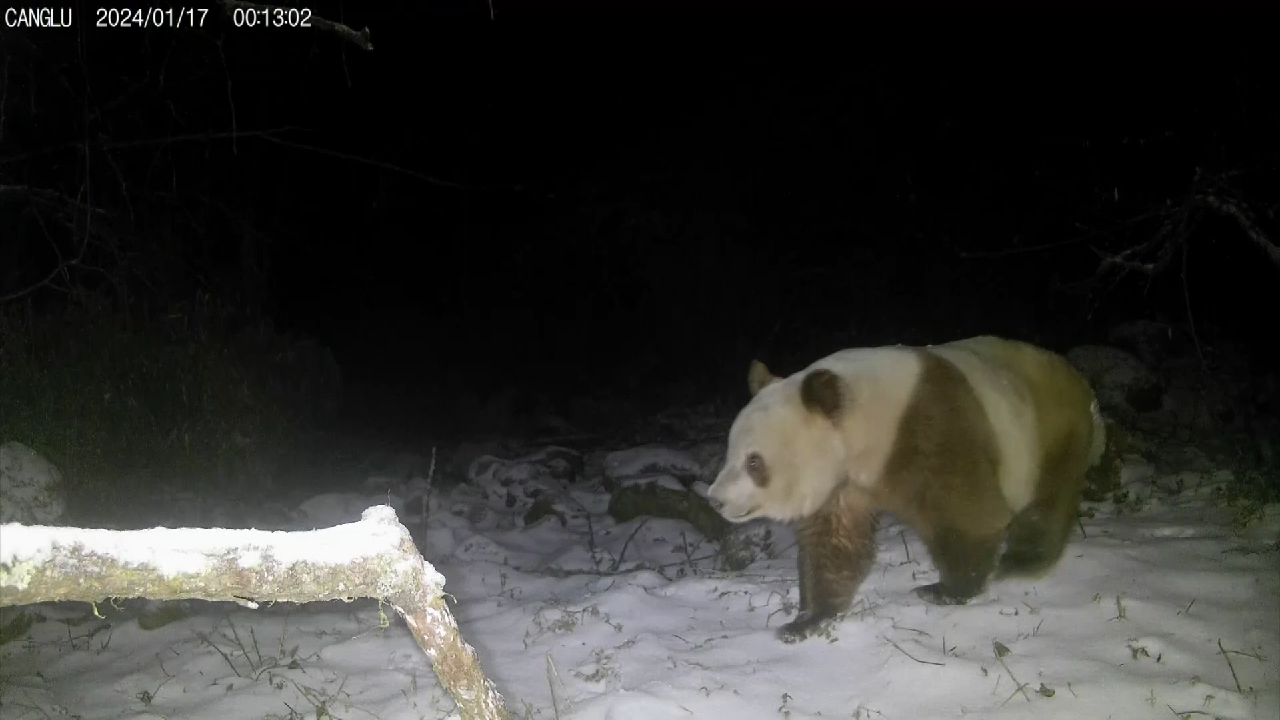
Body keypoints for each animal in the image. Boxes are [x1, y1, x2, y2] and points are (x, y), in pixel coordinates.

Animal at [706, 335, 1106, 644]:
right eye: (729, 451)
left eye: (754, 462)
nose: (716, 500)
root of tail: (1082, 384)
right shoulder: (843, 481)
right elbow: (834, 545)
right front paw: (805, 621)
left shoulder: (932, 428)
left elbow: (966, 512)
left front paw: (947, 591)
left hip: (1051, 430)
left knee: (1047, 501)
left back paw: (1022, 561)